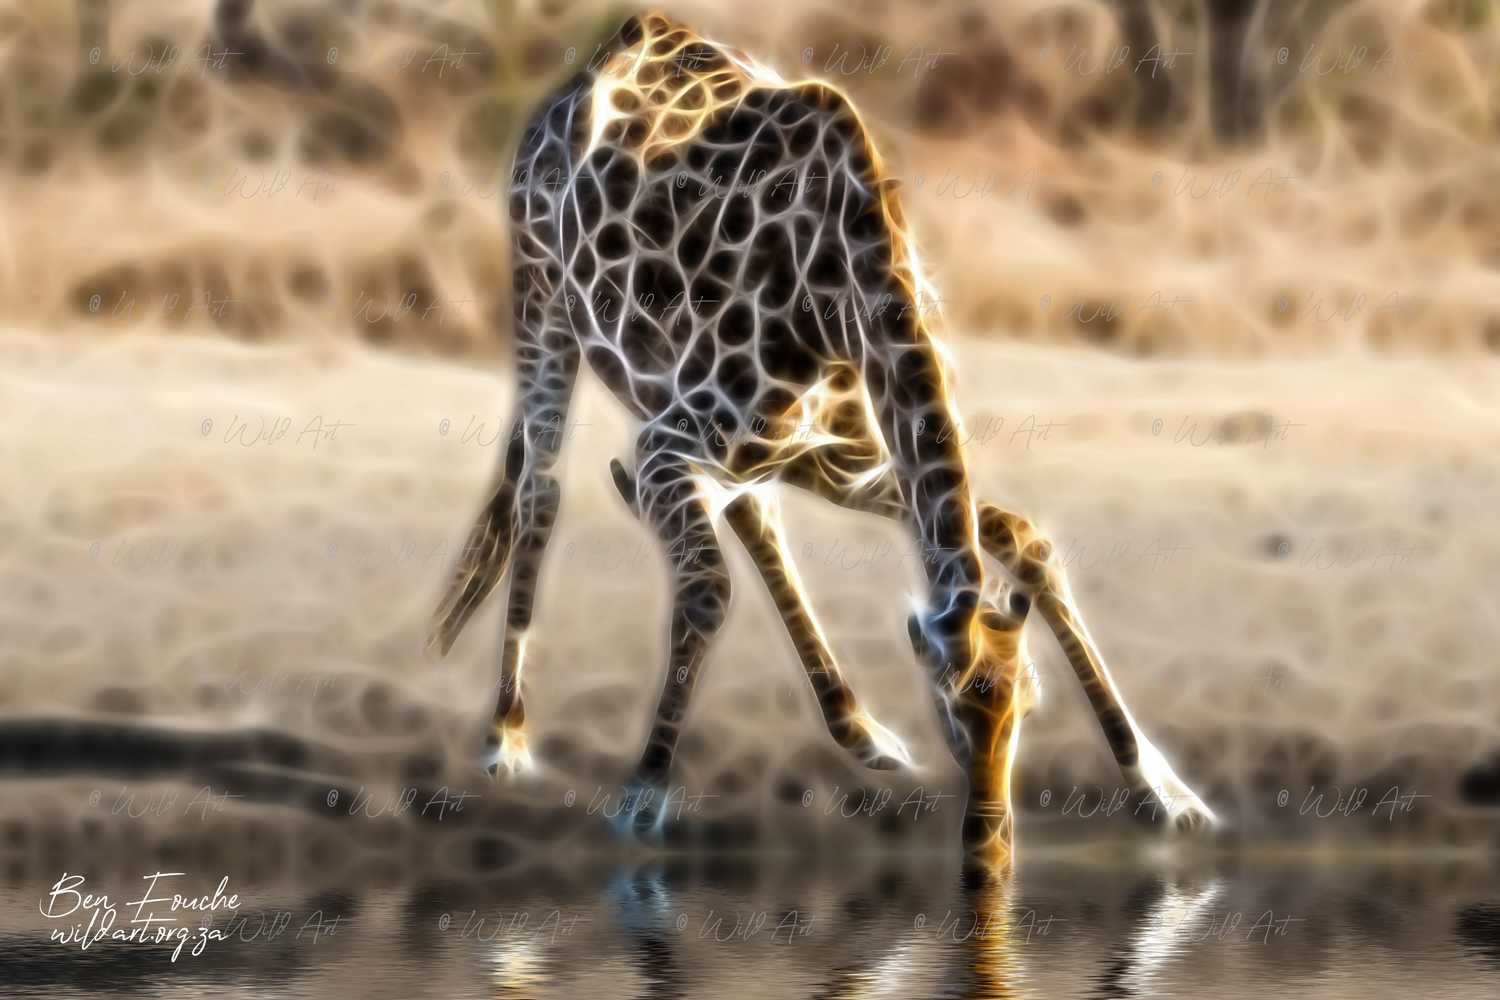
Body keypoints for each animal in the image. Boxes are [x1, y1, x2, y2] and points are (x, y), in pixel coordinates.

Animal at [426, 12, 1216, 859]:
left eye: (1025, 709)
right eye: (950, 714)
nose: (989, 843)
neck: (848, 283)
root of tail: (598, 60)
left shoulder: (854, 461)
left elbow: (1026, 539)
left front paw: (1167, 794)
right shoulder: (670, 444)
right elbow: (706, 590)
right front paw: (642, 801)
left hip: (751, 437)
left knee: (752, 514)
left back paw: (860, 727)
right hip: (542, 293)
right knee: (539, 490)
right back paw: (506, 736)